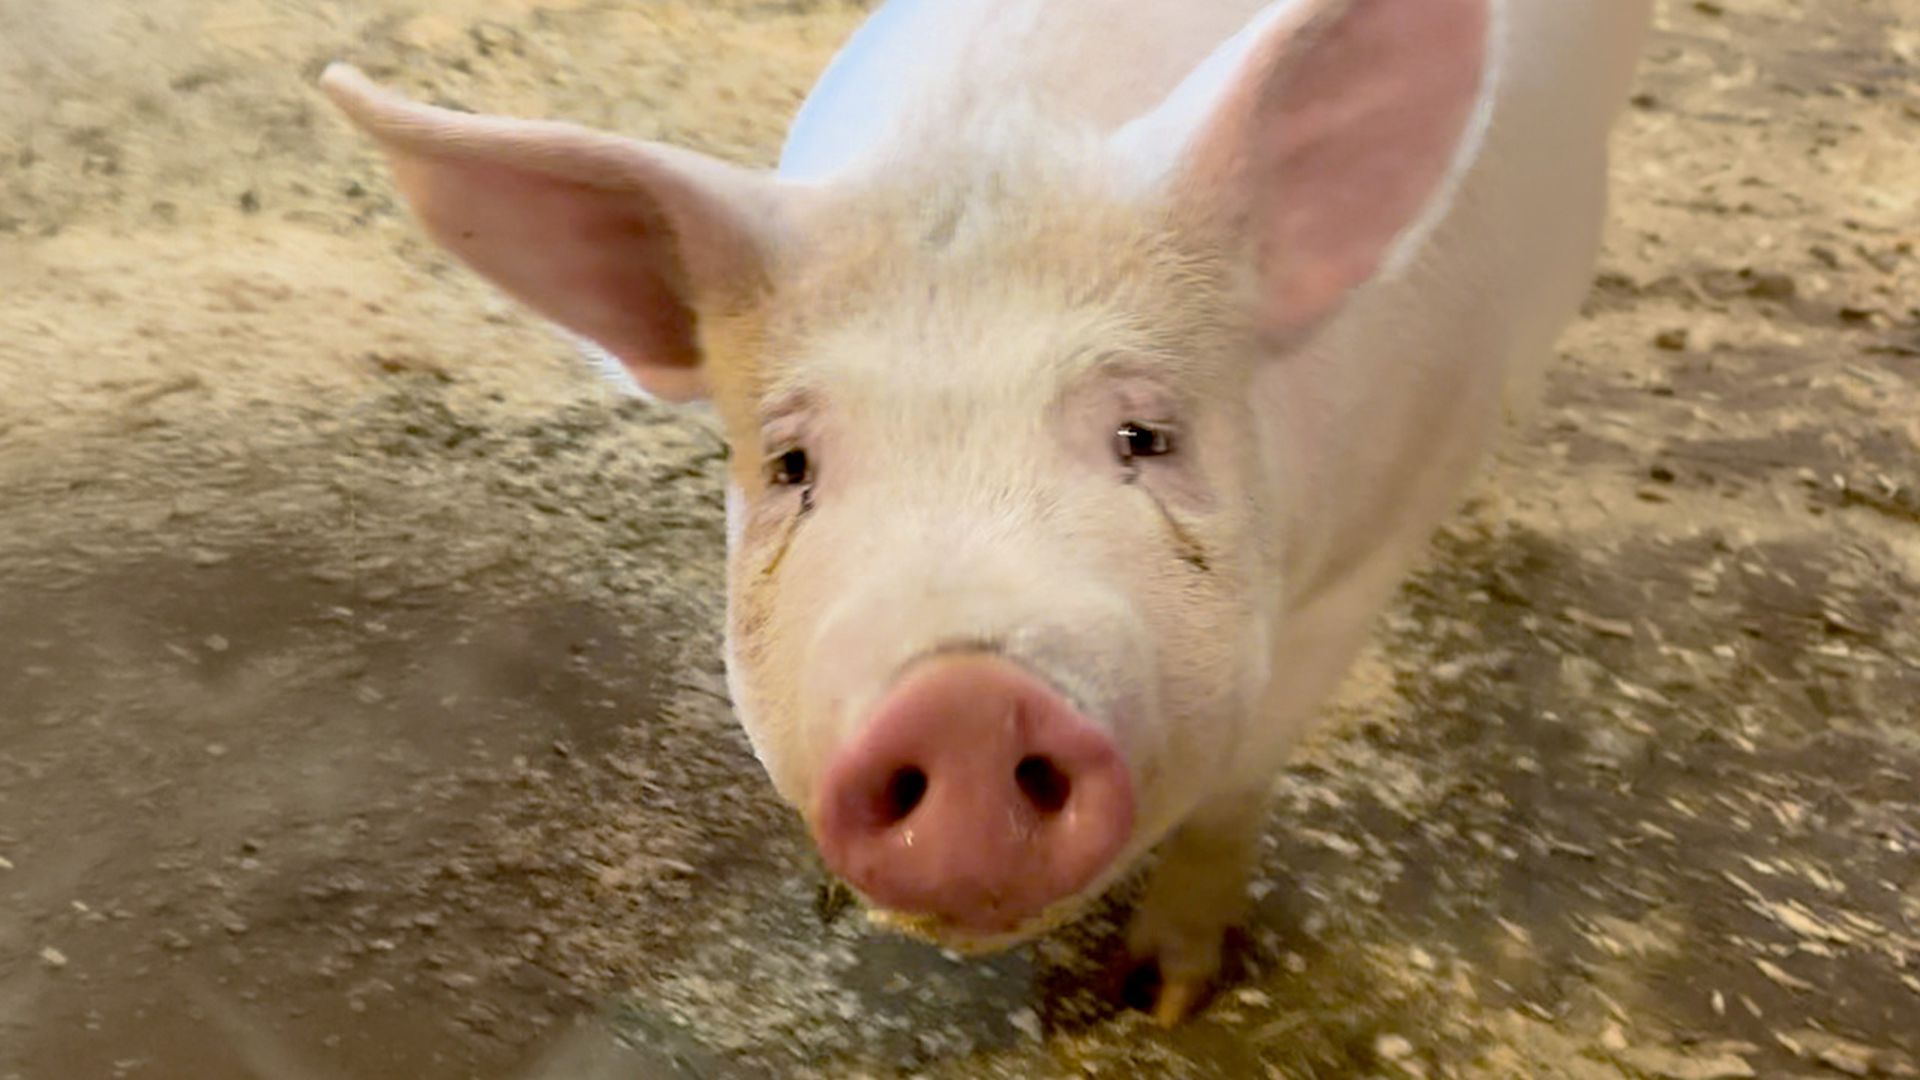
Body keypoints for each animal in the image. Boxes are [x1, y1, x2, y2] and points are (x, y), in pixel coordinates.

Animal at [321, 0, 1654, 1024]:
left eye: (1145, 437)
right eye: (792, 464)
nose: (965, 699)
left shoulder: (1366, 559)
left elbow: (1237, 787)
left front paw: (1160, 1003)